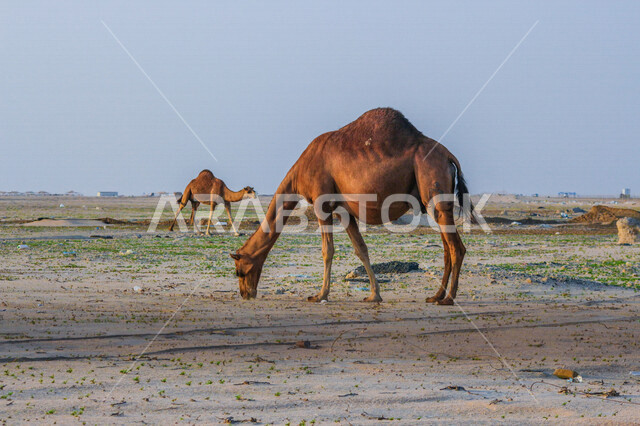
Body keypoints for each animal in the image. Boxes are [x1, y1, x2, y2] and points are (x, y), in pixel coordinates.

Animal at [231, 108, 472, 305]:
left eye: (239, 272)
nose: (246, 294)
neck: (300, 173)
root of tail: (449, 156)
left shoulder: (322, 203)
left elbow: (327, 250)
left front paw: (320, 295)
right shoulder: (343, 210)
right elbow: (361, 249)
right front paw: (375, 295)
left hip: (433, 185)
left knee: (456, 247)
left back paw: (448, 299)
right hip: (431, 201)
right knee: (447, 248)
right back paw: (435, 296)